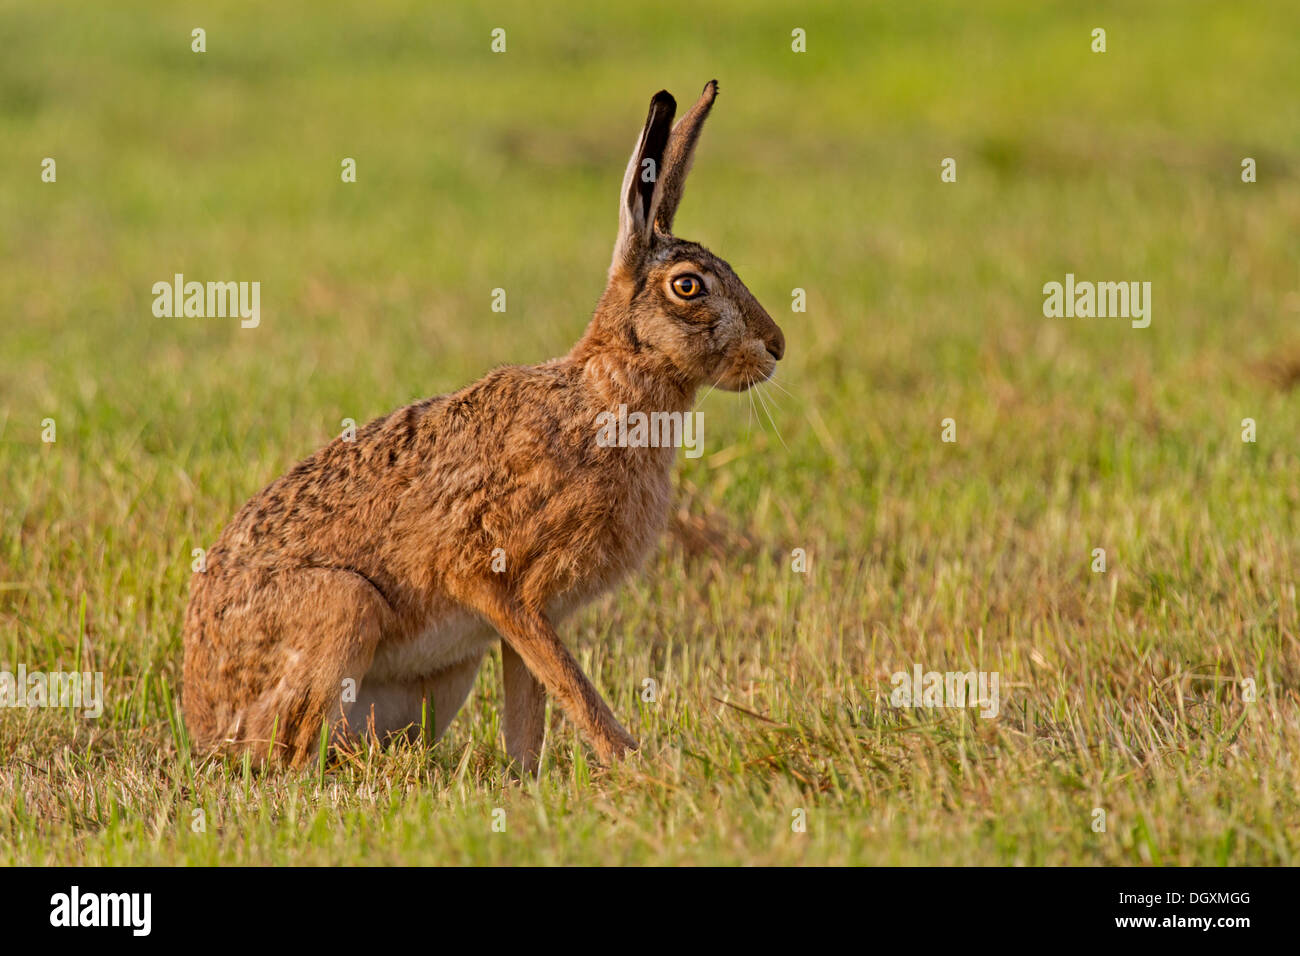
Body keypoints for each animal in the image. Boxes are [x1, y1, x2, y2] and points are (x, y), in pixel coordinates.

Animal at [181, 79, 786, 772]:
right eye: (689, 287)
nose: (777, 346)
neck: (605, 396)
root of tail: (201, 717)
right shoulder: (498, 581)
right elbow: (571, 686)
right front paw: (632, 761)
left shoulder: (535, 614)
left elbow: (532, 704)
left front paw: (528, 779)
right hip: (342, 605)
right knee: (285, 755)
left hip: (443, 675)